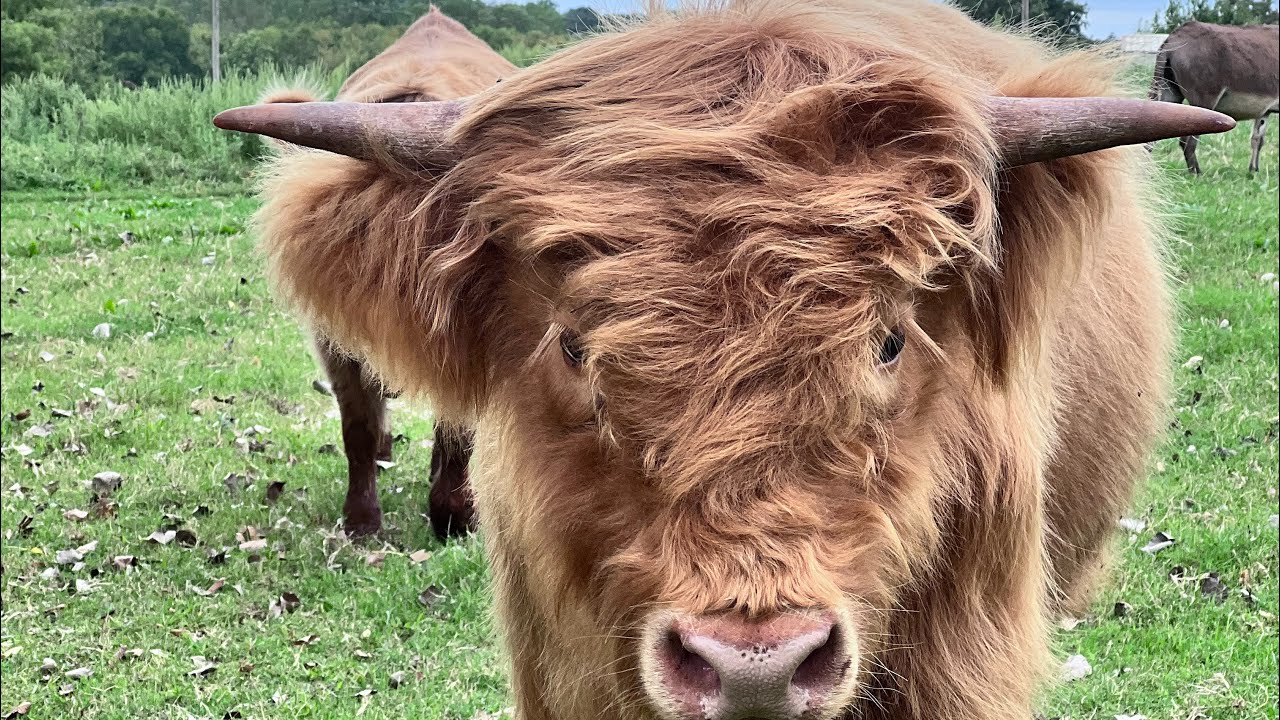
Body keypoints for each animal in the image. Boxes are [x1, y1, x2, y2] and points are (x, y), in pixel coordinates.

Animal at [1149, 21, 1279, 173]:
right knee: (1187, 141)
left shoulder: (1264, 112)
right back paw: (1196, 173)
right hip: (1203, 102)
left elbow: (1257, 140)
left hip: (1170, 94)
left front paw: (1253, 171)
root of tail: (1174, 38)